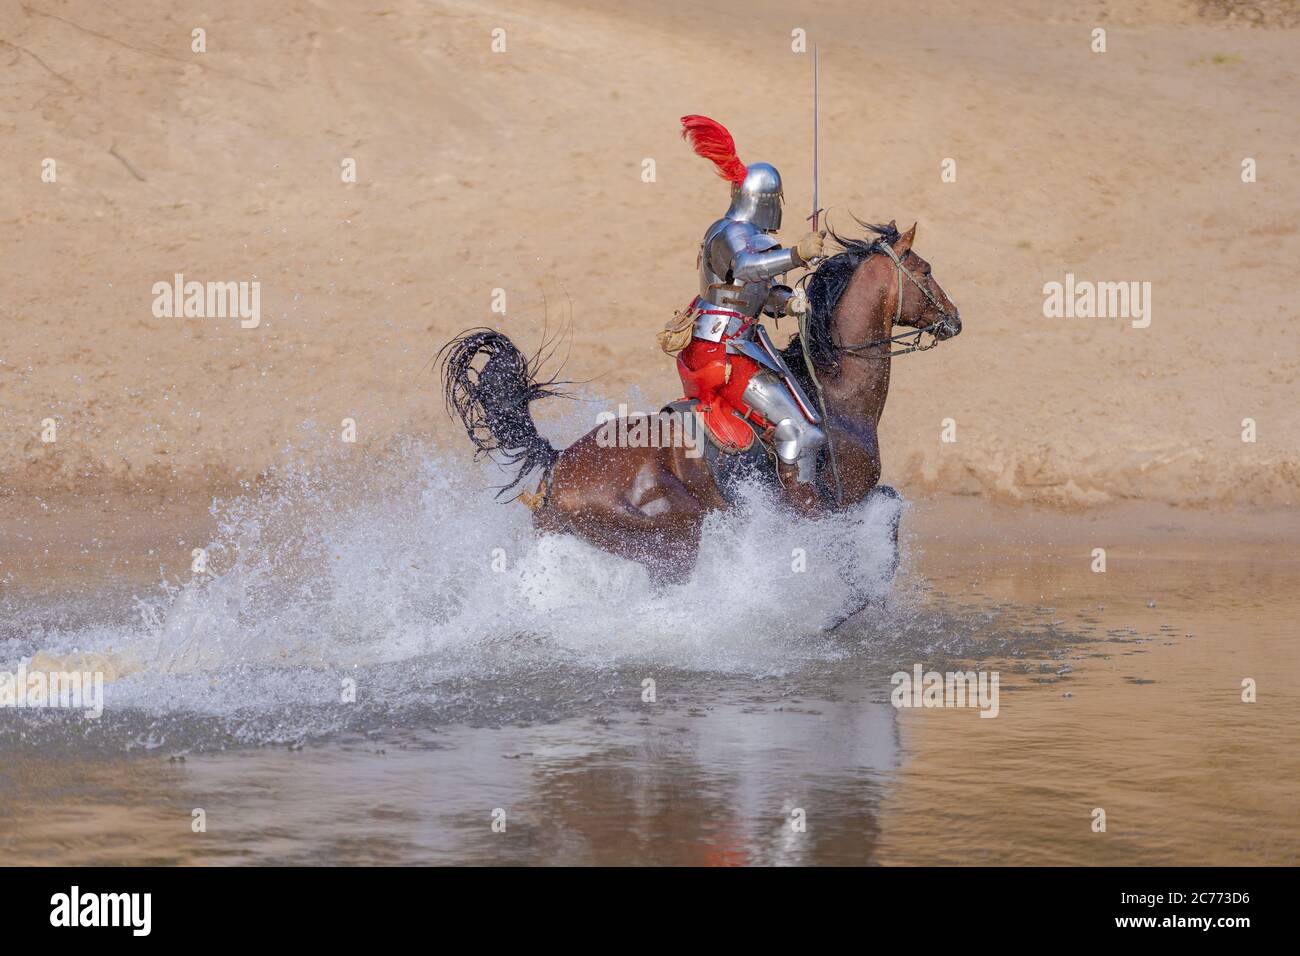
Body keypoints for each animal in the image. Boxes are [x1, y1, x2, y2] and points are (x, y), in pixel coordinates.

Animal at [439, 220, 961, 584]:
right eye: (927, 271)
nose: (954, 318)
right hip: (677, 541)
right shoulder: (847, 501)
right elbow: (885, 523)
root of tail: (558, 464)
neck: (835, 394)